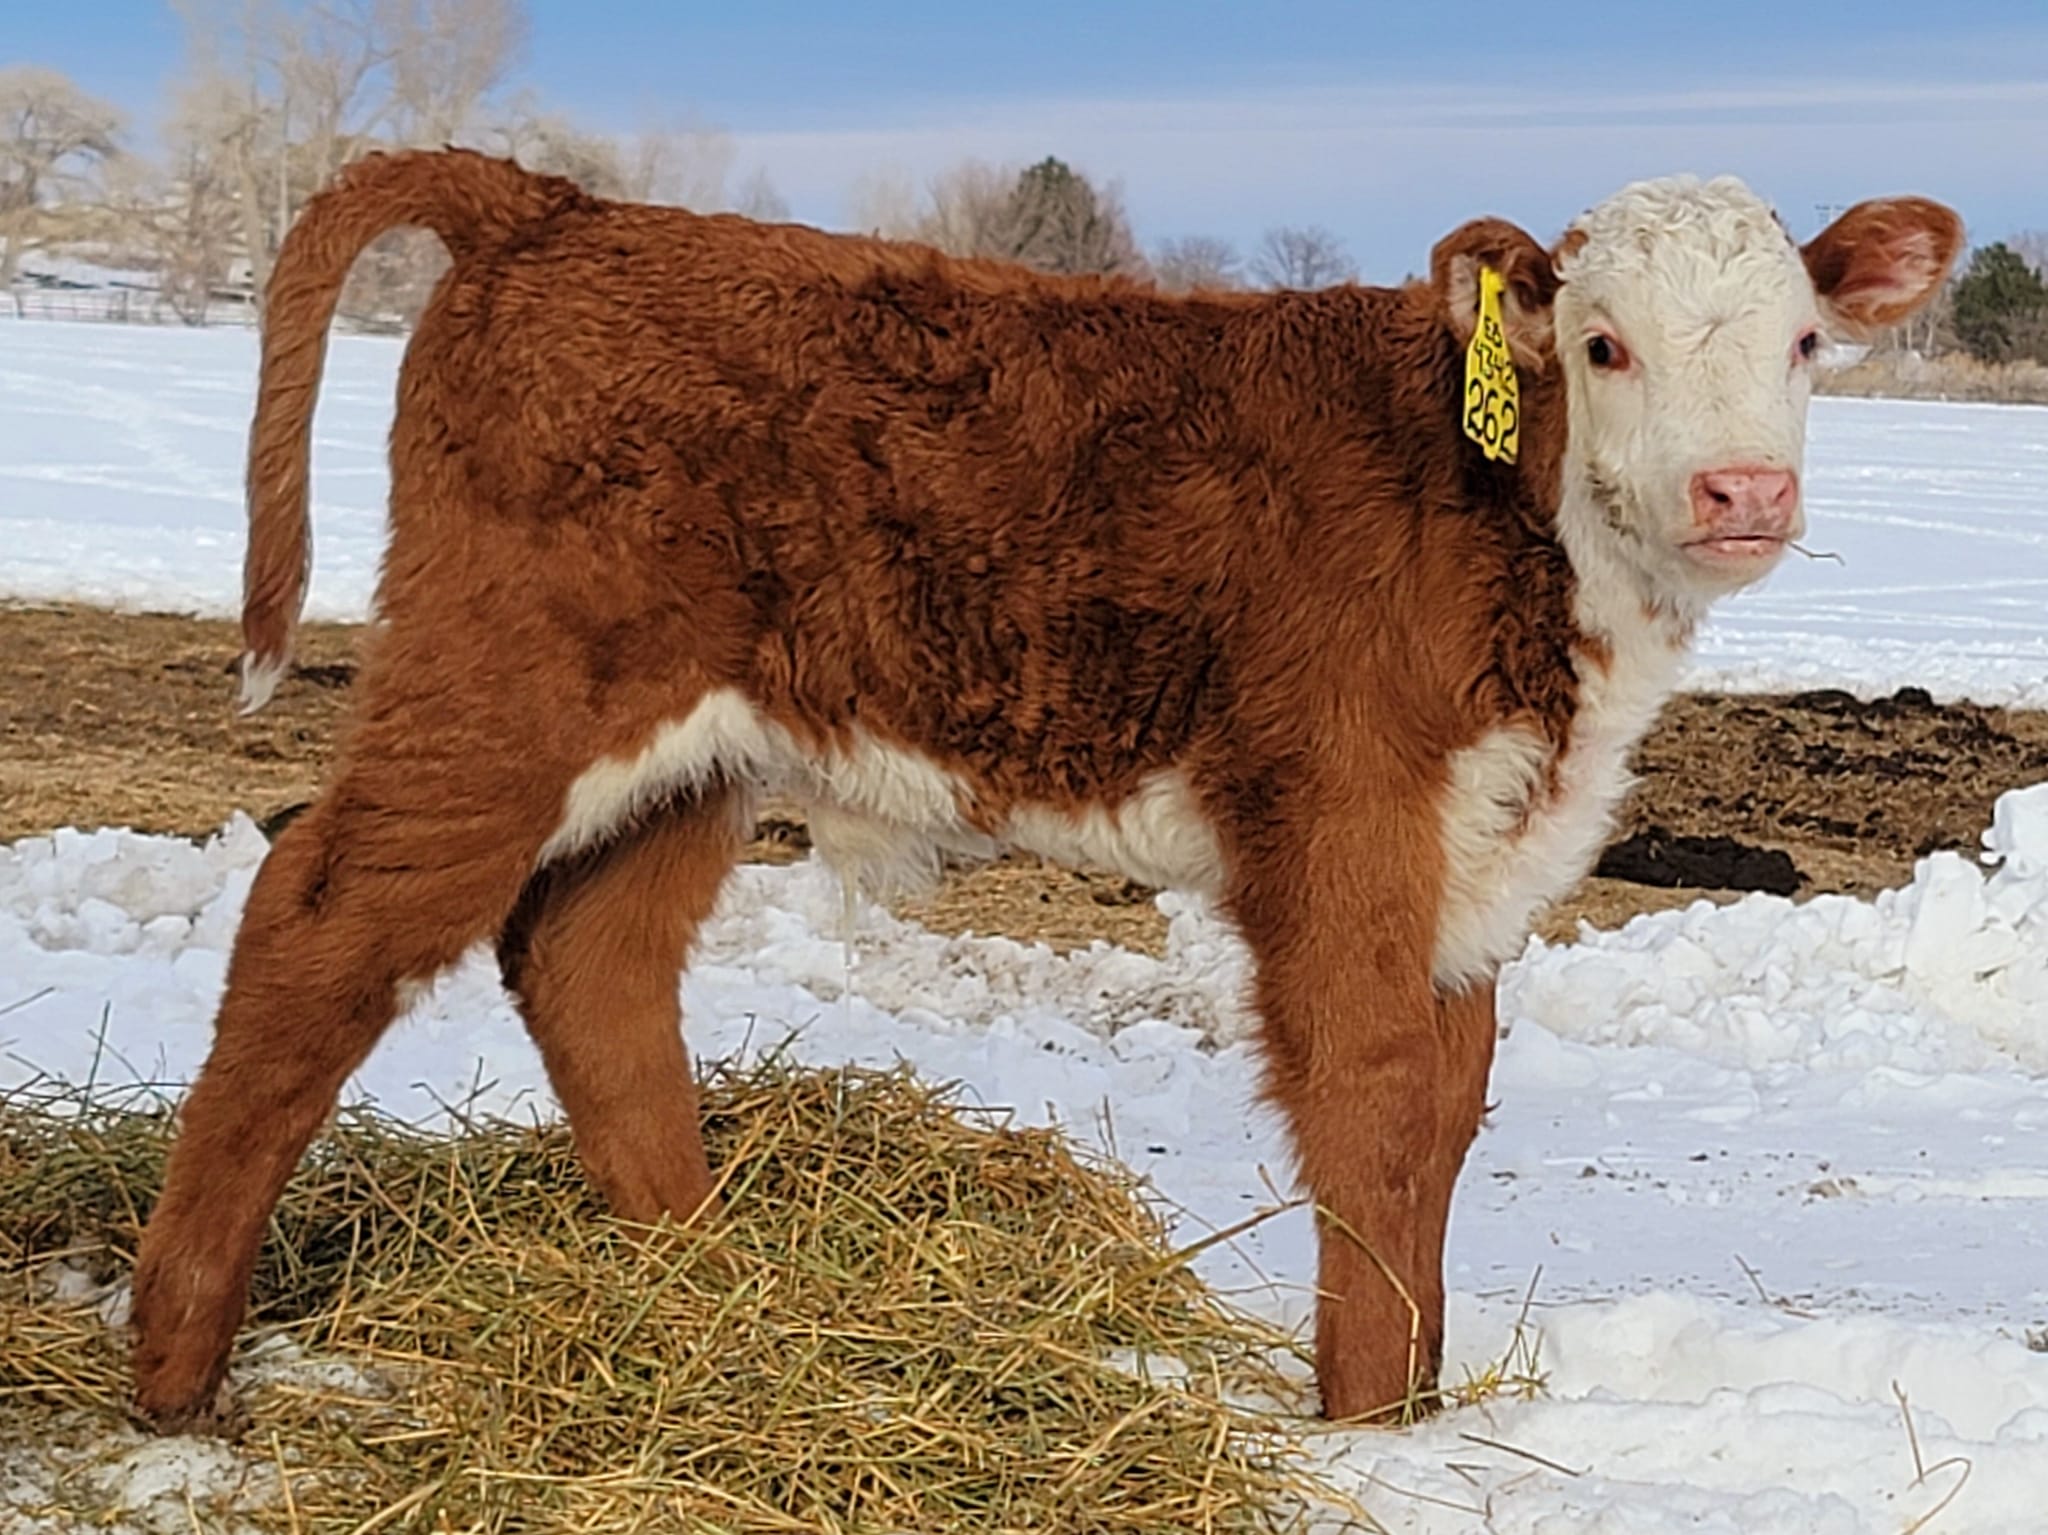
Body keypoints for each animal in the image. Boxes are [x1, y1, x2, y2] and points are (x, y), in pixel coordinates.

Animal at [126, 147, 1960, 1433]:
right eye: (1602, 343)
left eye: (1806, 341)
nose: (1744, 491)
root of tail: (553, 206)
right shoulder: (1339, 825)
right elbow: (1368, 1114)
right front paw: (1376, 1430)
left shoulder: (1474, 863)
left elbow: (1443, 1121)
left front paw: (1430, 1410)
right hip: (502, 688)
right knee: (313, 925)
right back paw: (174, 1365)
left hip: (692, 752)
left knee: (591, 965)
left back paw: (721, 1294)